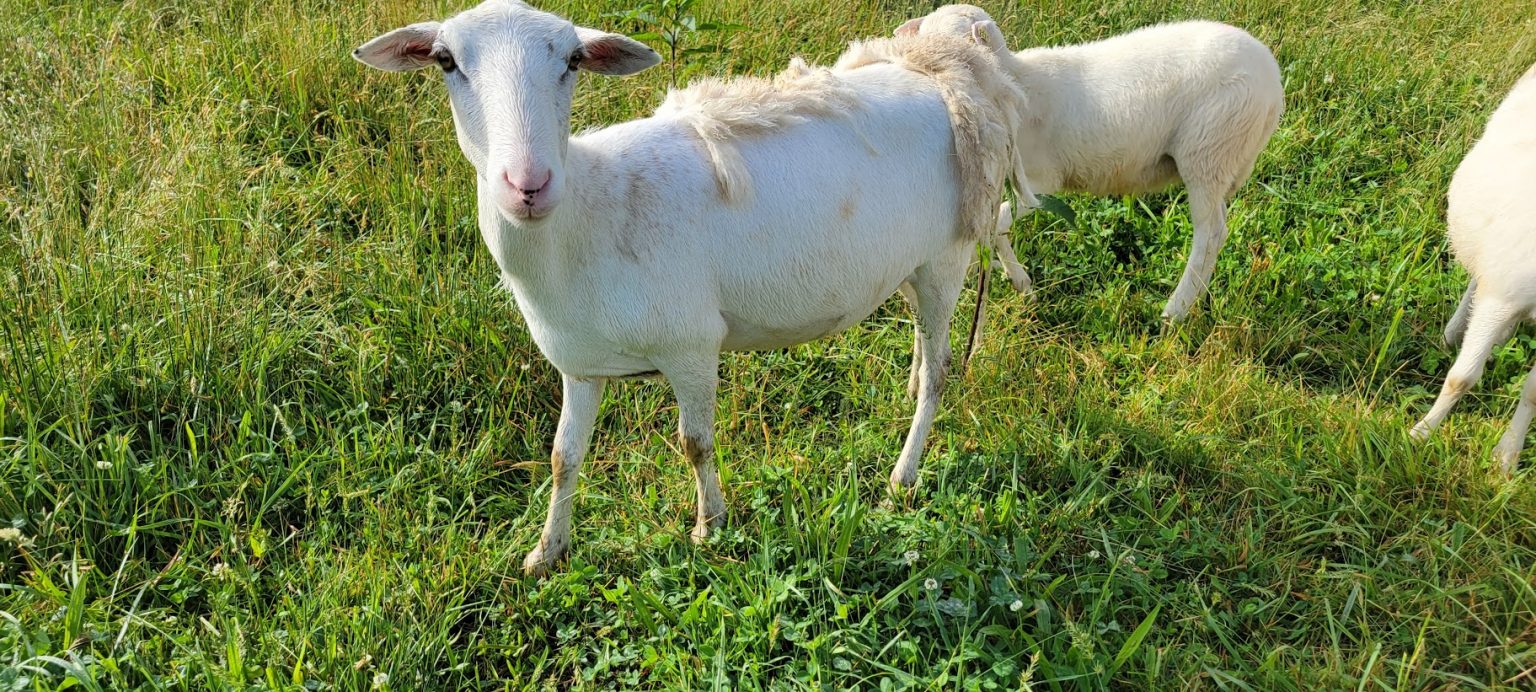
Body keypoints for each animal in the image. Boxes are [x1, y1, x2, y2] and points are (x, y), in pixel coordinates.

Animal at [353, 0, 1028, 575]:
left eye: (572, 62)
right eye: (446, 62)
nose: (529, 184)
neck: (588, 218)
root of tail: (944, 62)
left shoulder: (692, 344)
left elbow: (695, 442)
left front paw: (710, 527)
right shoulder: (581, 363)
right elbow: (563, 457)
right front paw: (547, 552)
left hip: (947, 254)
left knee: (942, 368)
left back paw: (903, 473)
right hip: (909, 261)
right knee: (921, 338)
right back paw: (908, 386)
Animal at [898, 4, 1285, 322]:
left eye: (945, 39)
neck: (1013, 80)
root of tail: (1273, 83)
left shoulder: (1040, 181)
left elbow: (1003, 221)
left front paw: (1019, 280)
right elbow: (997, 227)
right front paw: (1020, 284)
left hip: (1208, 149)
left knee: (1211, 233)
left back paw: (1175, 311)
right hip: (1224, 156)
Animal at [1410, 63, 1536, 475]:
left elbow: (1534, 392)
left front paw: (1506, 458)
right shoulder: (1503, 294)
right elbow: (1462, 378)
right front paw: (1420, 434)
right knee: (1475, 284)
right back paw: (1453, 334)